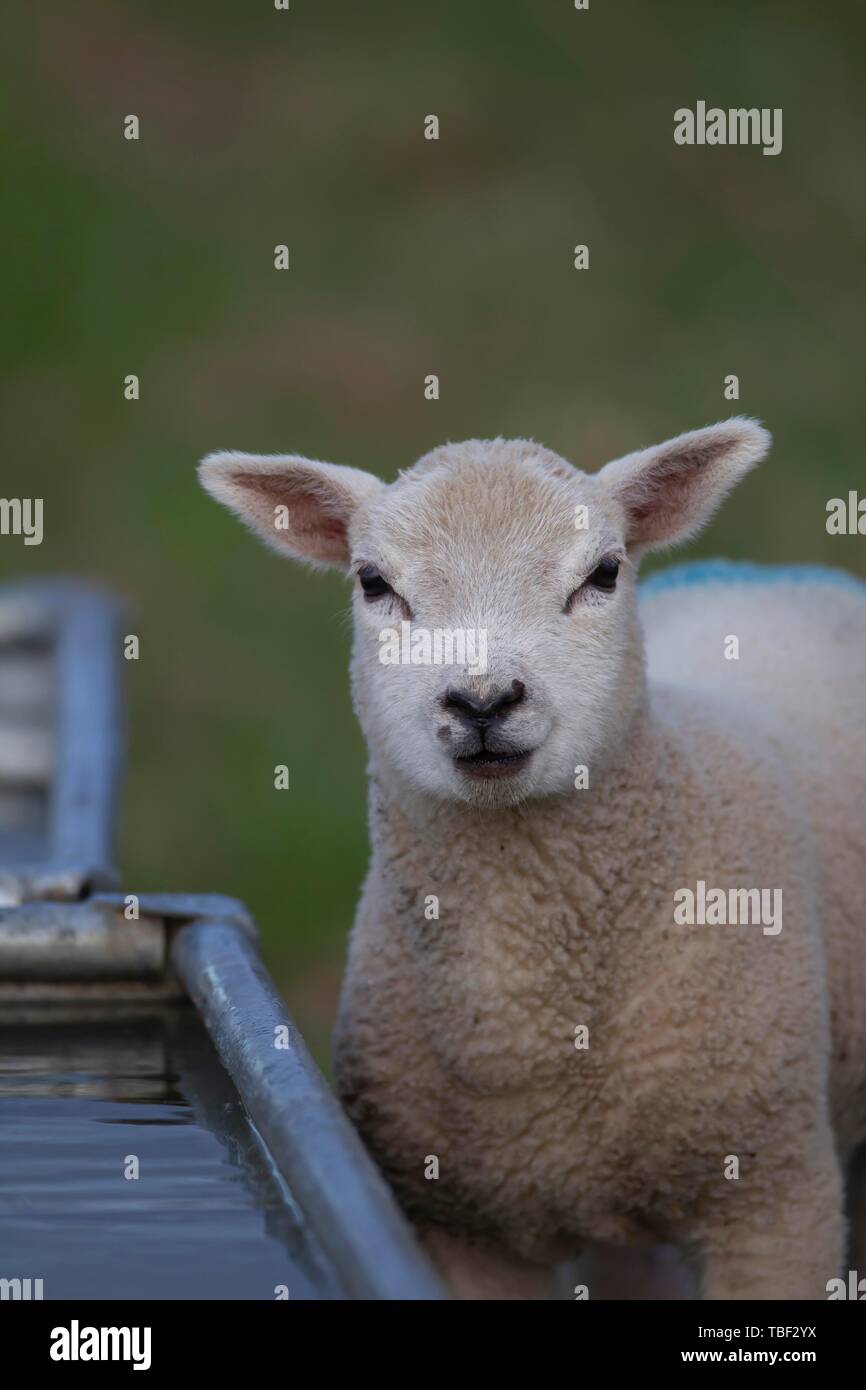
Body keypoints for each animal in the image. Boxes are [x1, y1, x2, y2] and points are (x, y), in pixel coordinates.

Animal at [199, 419, 866, 1300]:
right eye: (374, 583)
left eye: (604, 573)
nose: (483, 702)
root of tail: (760, 574)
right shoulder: (460, 1225)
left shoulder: (773, 1198)